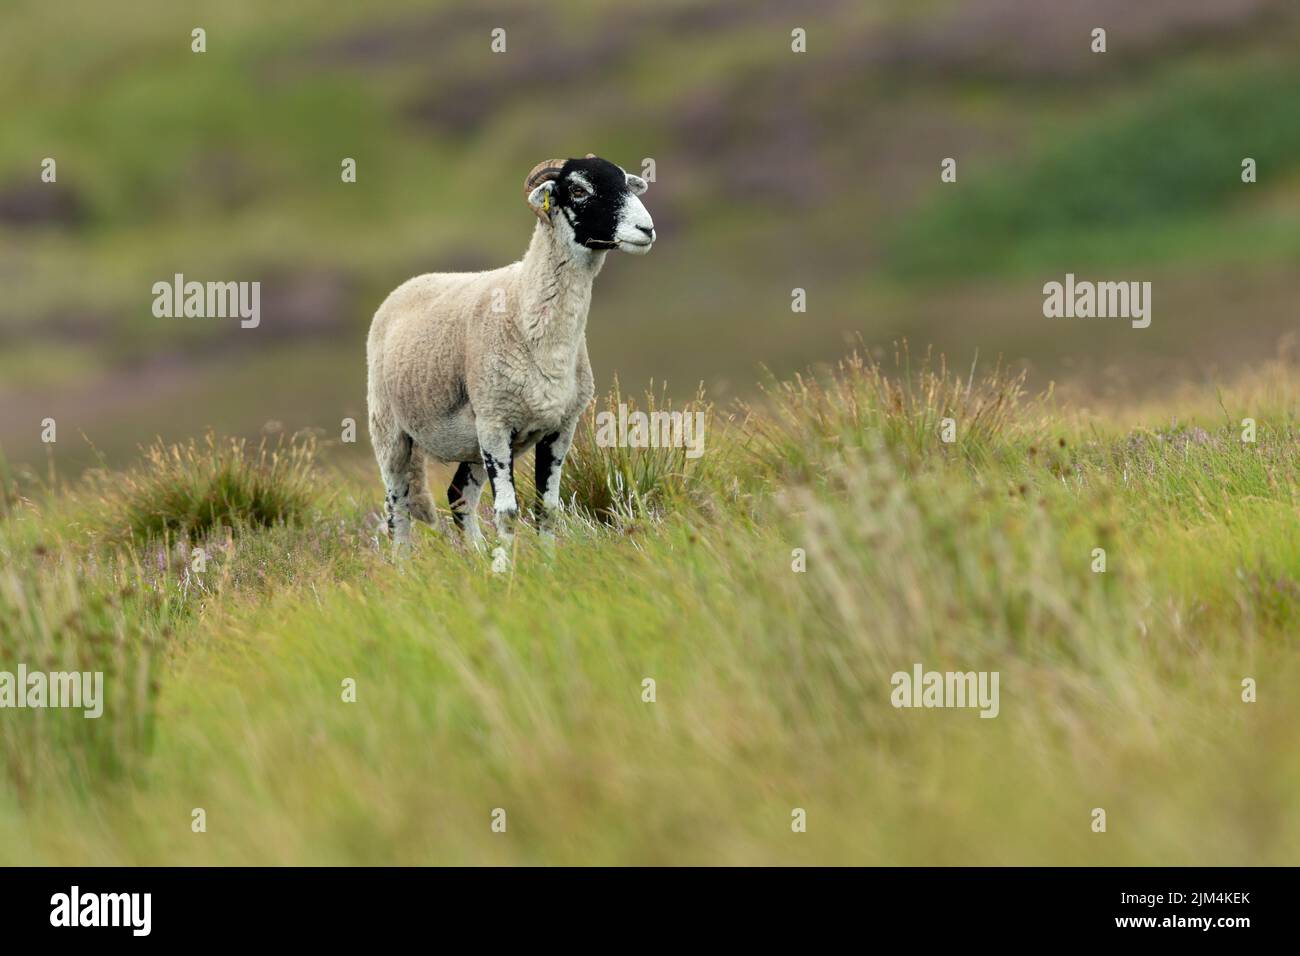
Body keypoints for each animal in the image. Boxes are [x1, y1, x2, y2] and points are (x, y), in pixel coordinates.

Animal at [366, 154, 655, 562]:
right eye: (578, 190)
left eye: (626, 184)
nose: (647, 229)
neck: (525, 308)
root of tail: (409, 284)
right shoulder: (496, 424)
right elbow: (507, 511)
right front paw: (504, 570)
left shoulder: (560, 428)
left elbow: (546, 509)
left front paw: (545, 566)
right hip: (390, 430)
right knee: (397, 509)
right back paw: (404, 567)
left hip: (469, 442)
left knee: (458, 497)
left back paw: (474, 557)